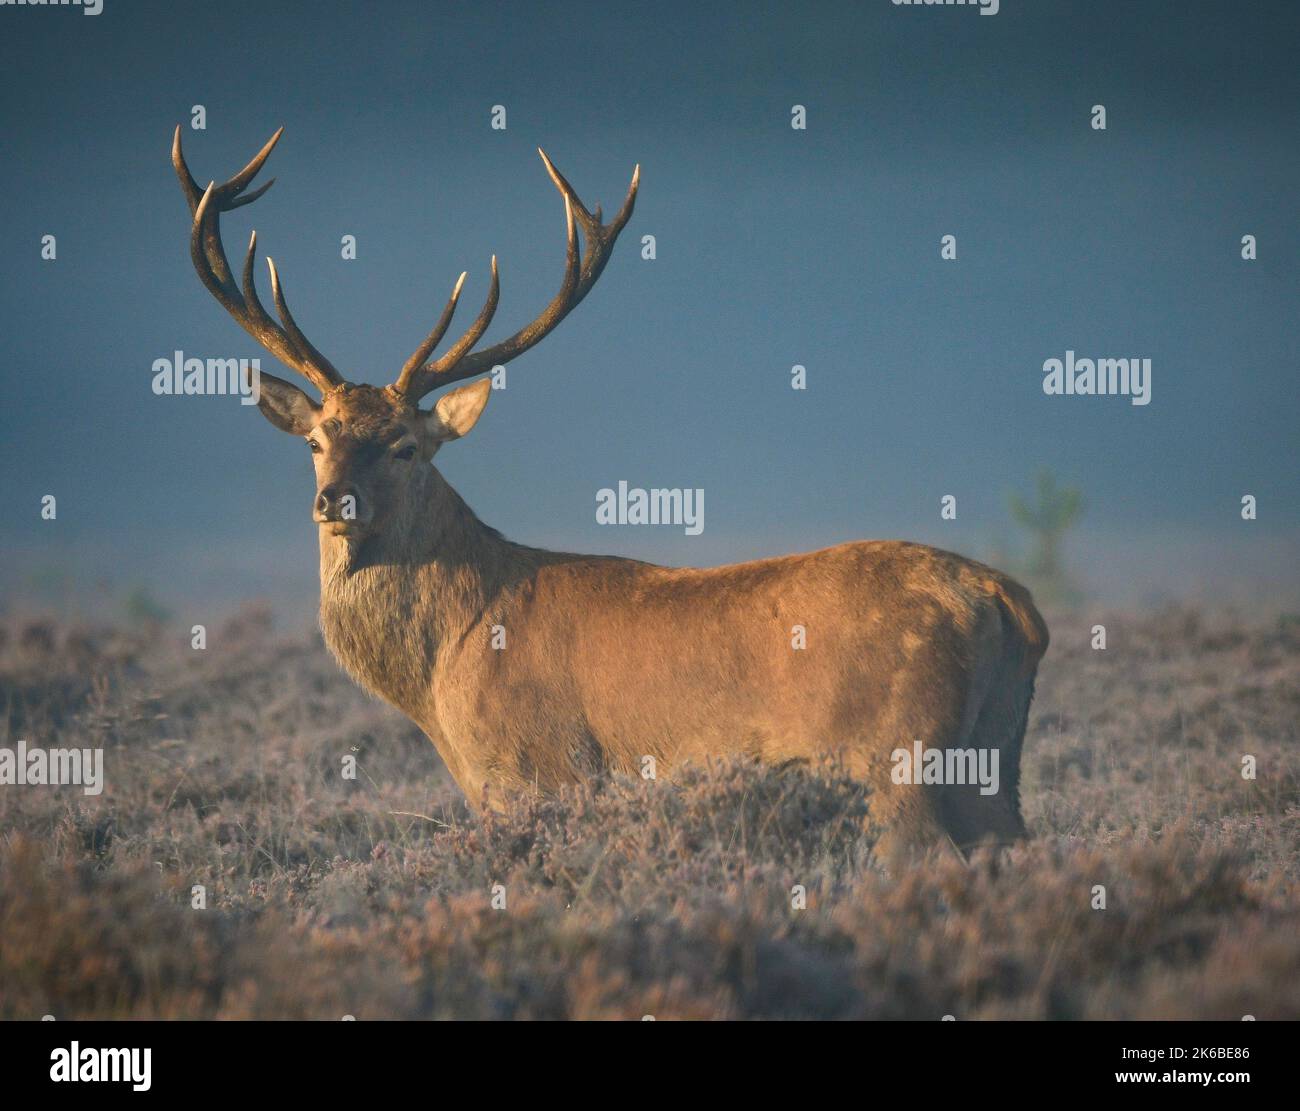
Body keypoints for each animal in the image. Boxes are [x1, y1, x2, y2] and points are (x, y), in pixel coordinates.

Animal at [172, 127, 1048, 865]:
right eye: (315, 441)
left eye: (405, 446)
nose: (334, 502)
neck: (446, 664)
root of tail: (1009, 601)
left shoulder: (542, 770)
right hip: (993, 758)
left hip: (891, 757)